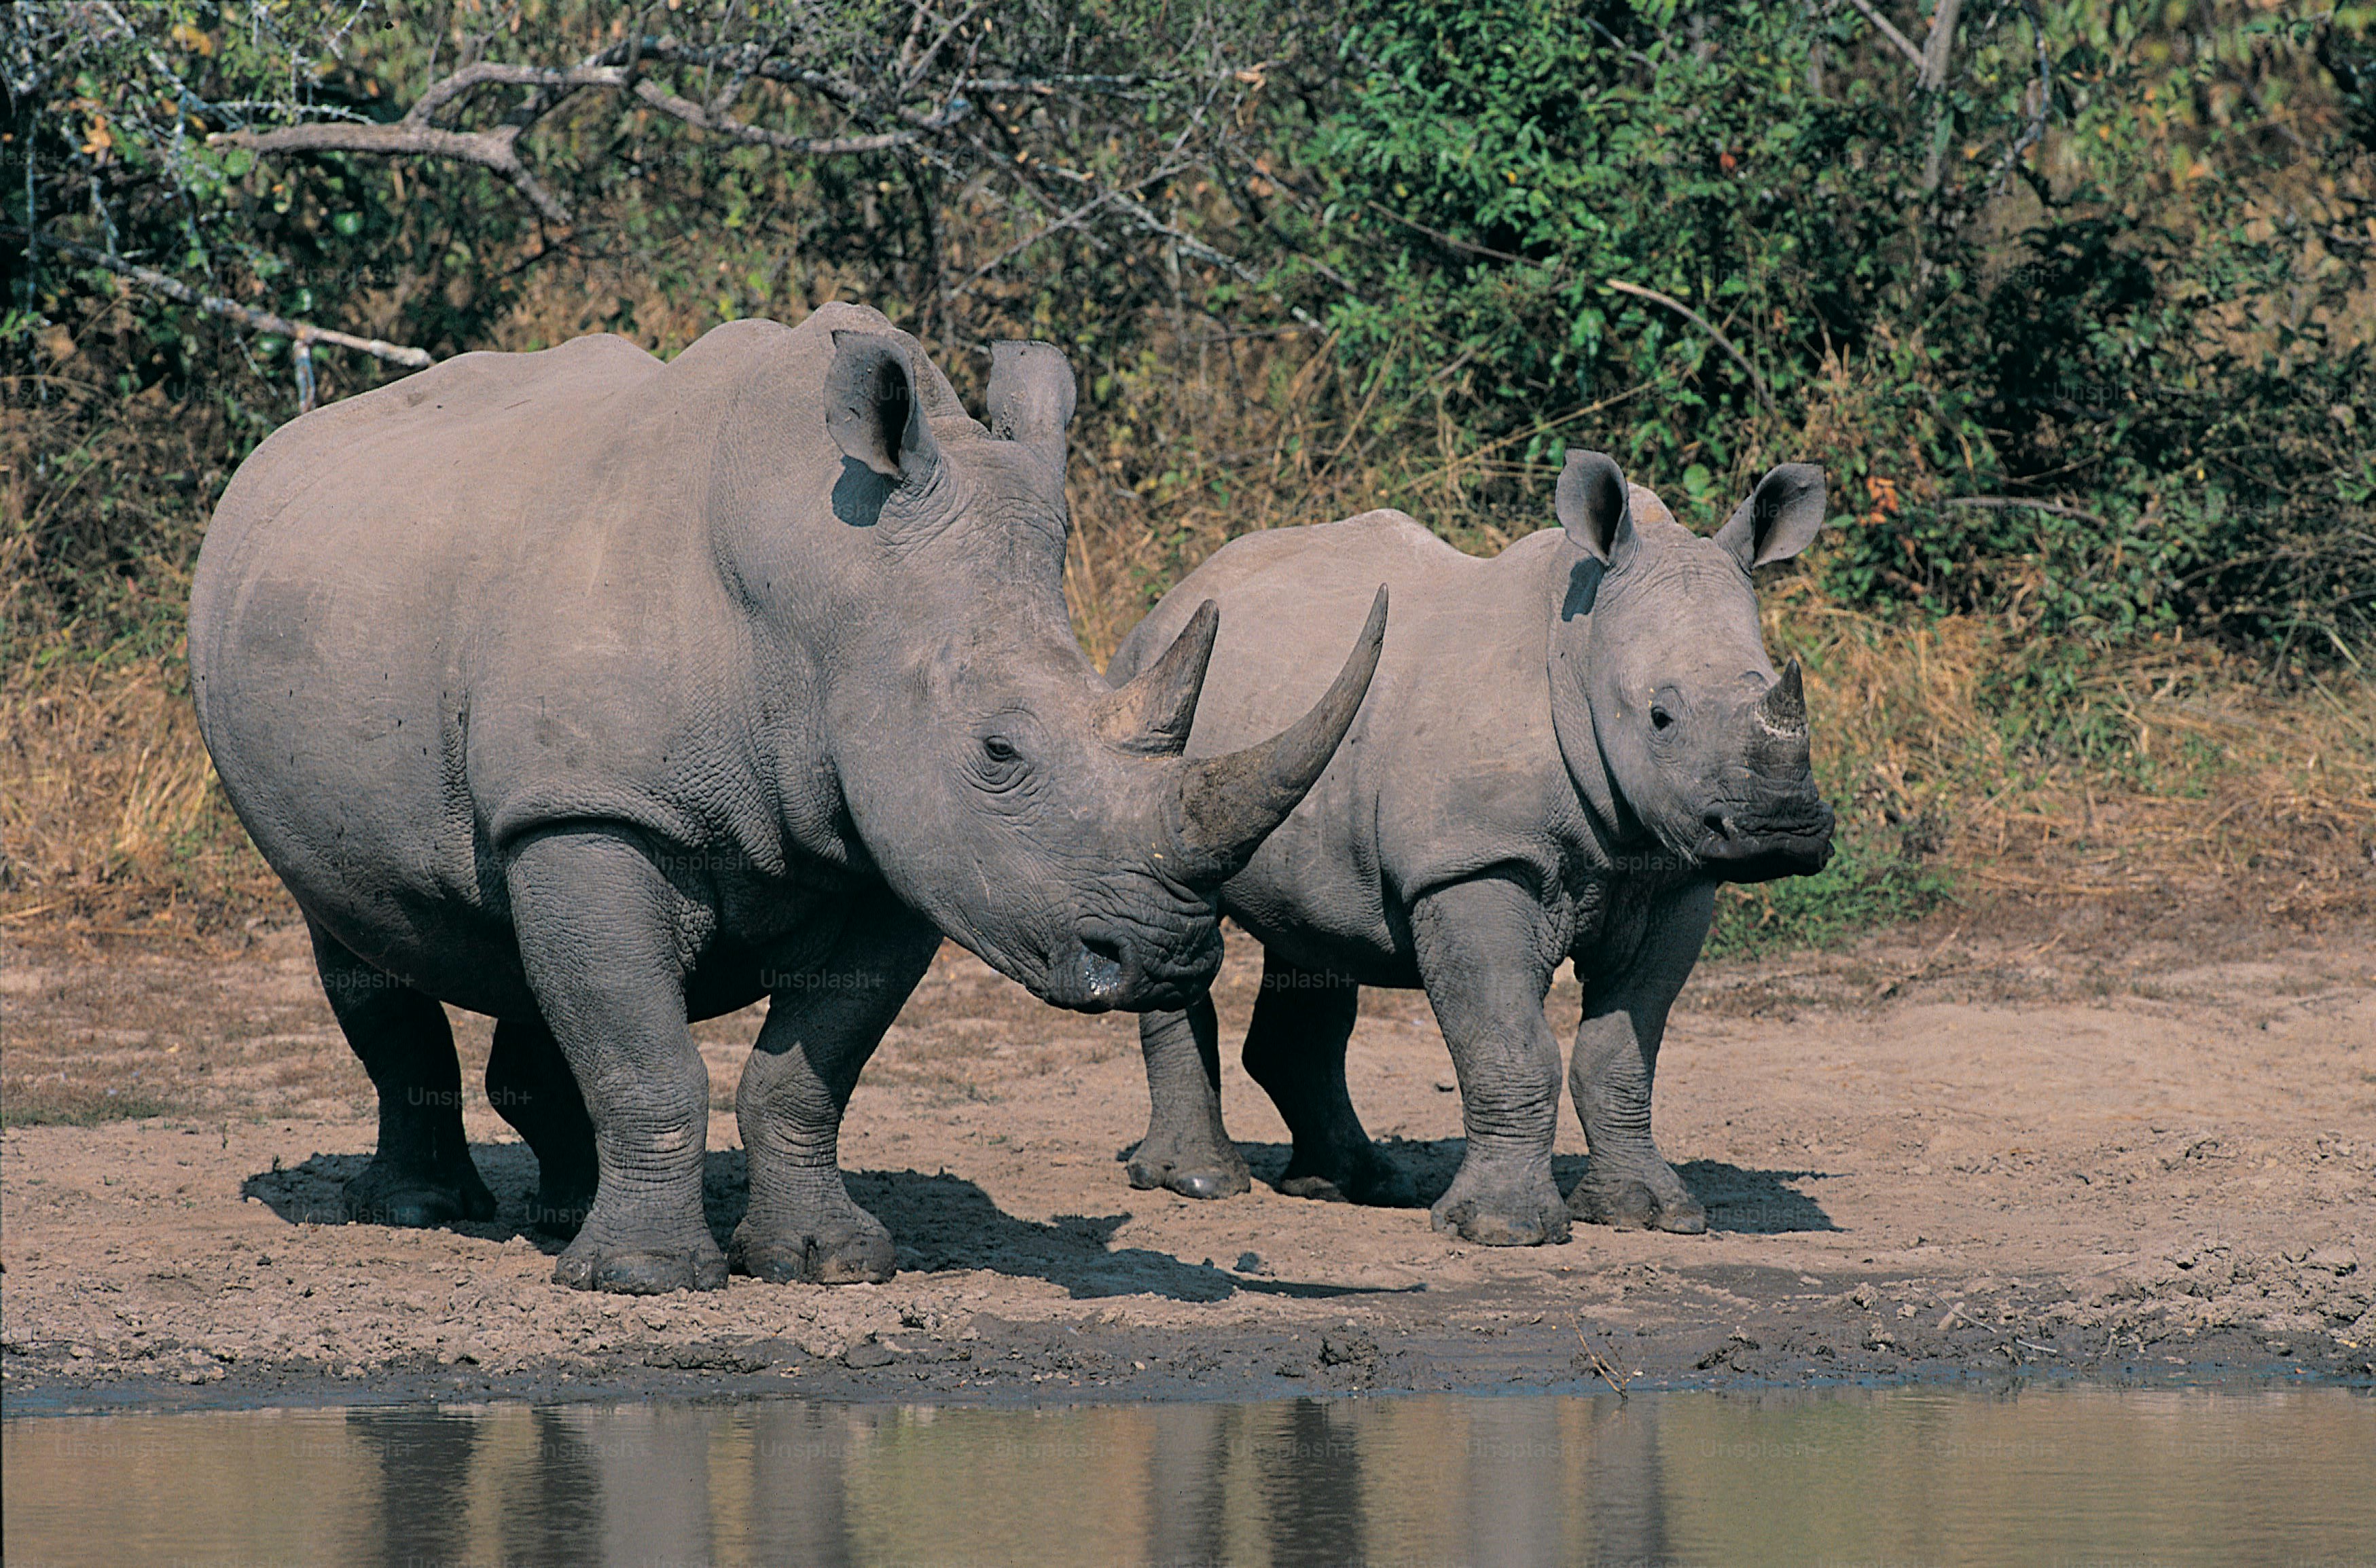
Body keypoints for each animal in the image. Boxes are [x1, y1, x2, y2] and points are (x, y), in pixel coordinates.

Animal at [189, 304, 1385, 1294]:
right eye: (999, 751)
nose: (1171, 956)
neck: (833, 590)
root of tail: (276, 453)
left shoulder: (899, 843)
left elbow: (806, 1070)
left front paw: (825, 1262)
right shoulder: (598, 806)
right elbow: (647, 1056)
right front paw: (645, 1281)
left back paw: (562, 1212)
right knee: (352, 919)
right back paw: (418, 1214)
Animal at [1110, 452, 1832, 1245]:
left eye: (1774, 685)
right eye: (1660, 716)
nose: (1782, 827)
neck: (1581, 648)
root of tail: (1172, 598)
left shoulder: (1674, 874)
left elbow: (1622, 1053)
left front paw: (1649, 1212)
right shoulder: (1473, 860)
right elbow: (1510, 1044)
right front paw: (1502, 1229)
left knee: (1311, 931)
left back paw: (1358, 1184)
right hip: (1152, 707)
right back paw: (1201, 1181)